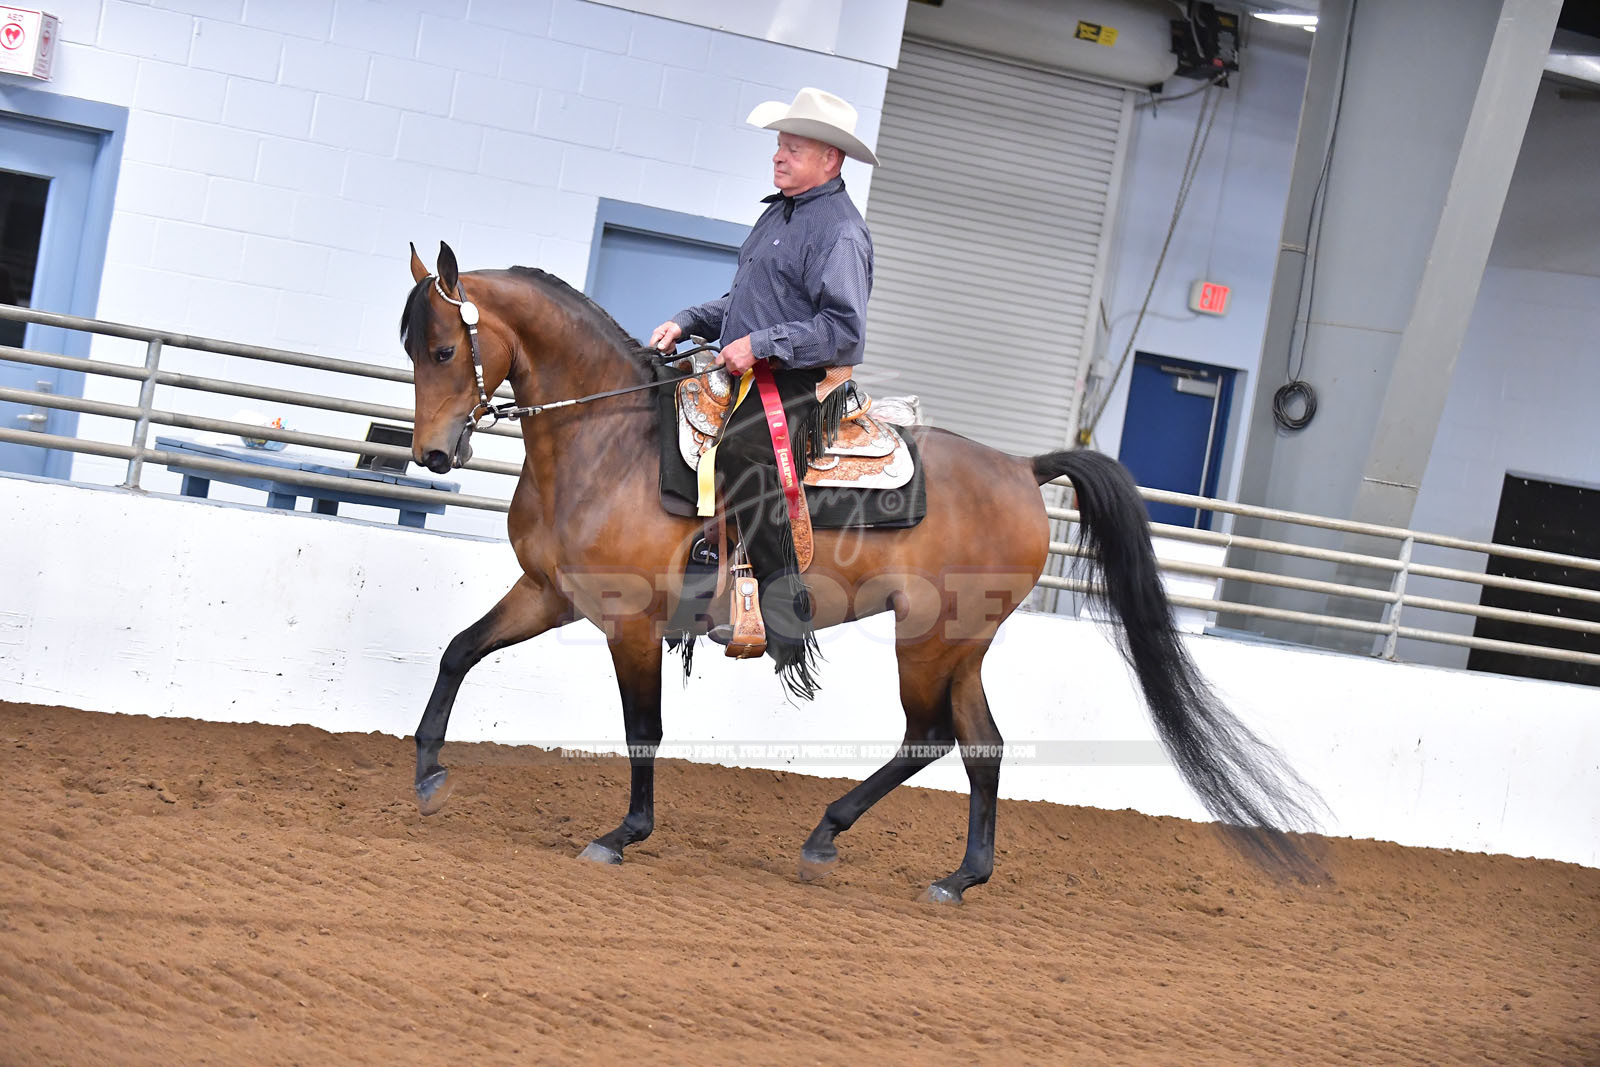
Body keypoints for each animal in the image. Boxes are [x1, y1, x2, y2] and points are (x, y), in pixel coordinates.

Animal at [398, 241, 1323, 903]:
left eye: (444, 348)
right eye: (411, 348)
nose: (435, 455)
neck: (608, 440)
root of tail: (1023, 470)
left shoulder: (629, 623)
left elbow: (643, 728)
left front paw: (622, 833)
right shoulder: (549, 593)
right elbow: (457, 649)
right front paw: (428, 772)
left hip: (931, 636)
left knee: (933, 735)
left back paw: (827, 835)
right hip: (961, 644)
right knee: (980, 743)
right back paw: (957, 876)